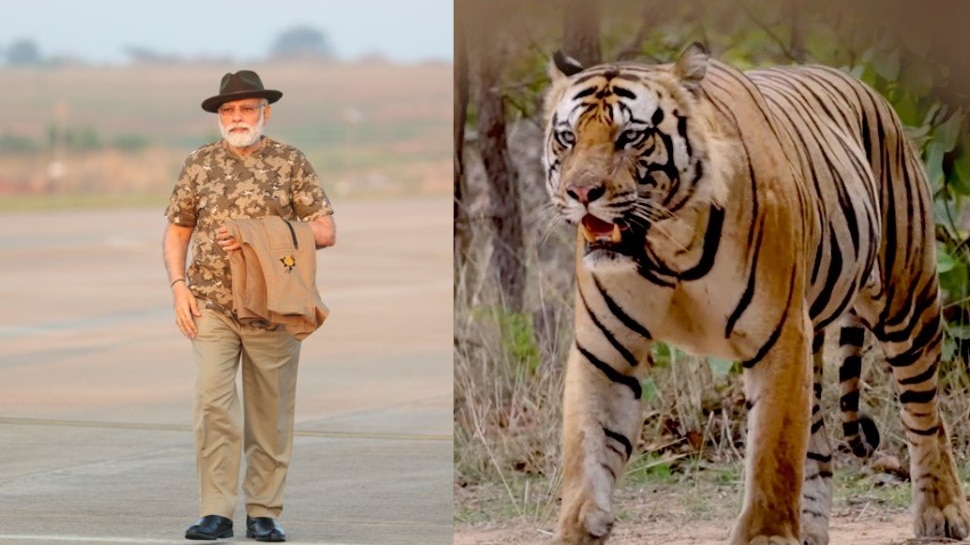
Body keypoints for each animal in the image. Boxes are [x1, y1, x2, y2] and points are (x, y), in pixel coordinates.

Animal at [541, 42, 970, 545]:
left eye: (630, 137)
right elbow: (588, 446)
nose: (581, 192)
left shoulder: (780, 336)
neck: (666, 245)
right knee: (820, 446)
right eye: (567, 137)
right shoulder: (605, 350)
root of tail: (867, 89)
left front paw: (766, 534)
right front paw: (579, 525)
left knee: (925, 416)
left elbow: (773, 449)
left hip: (907, 302)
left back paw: (942, 513)